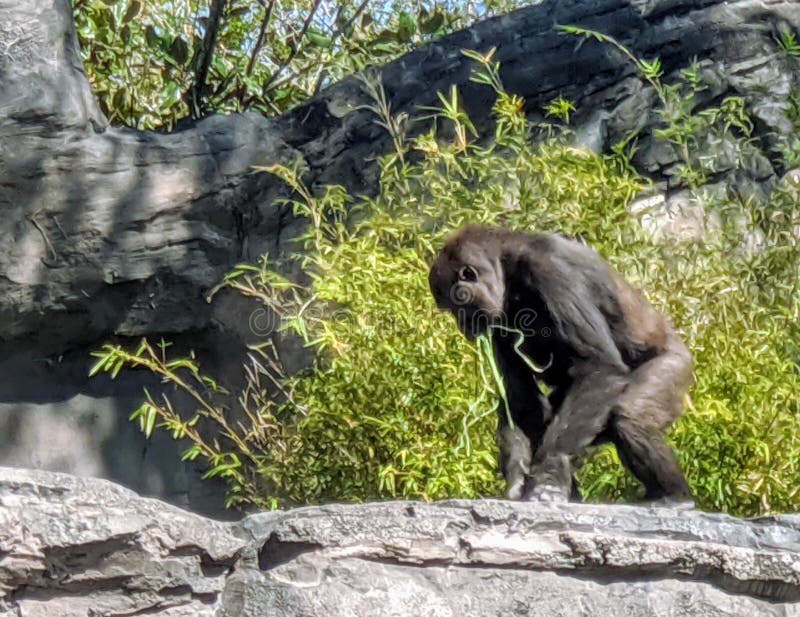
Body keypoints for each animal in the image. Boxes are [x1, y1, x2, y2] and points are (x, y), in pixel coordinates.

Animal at [428, 224, 693, 503]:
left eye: (455, 307)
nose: (462, 326)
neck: (508, 265)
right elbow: (520, 393)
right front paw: (519, 480)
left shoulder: (551, 271)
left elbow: (597, 366)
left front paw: (550, 475)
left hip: (675, 364)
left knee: (631, 418)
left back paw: (673, 496)